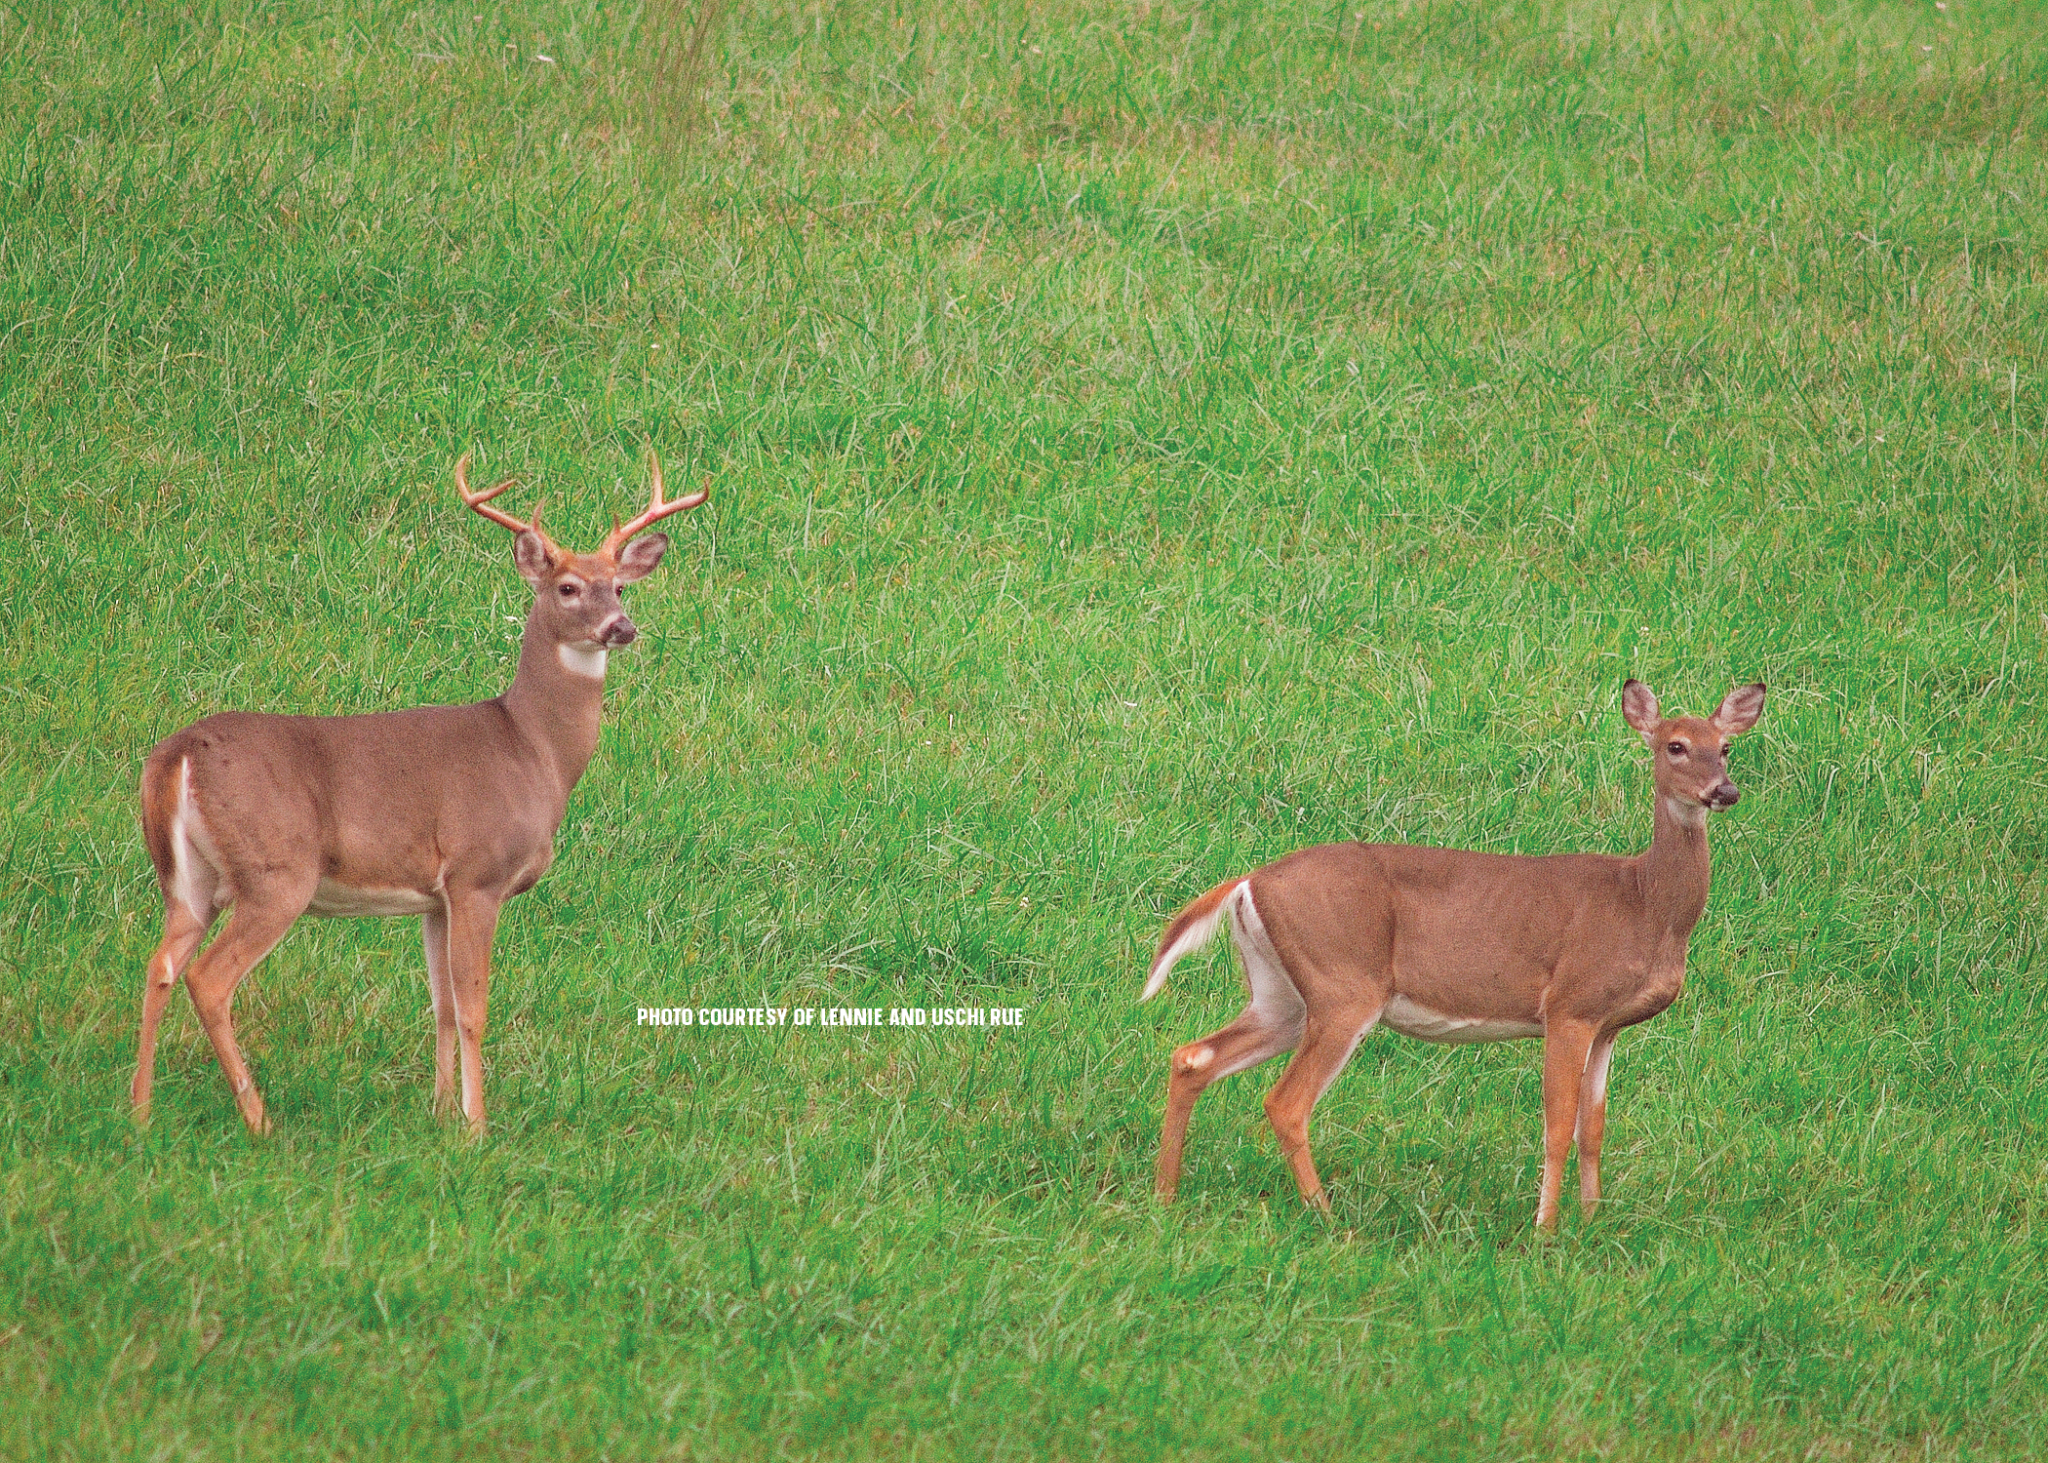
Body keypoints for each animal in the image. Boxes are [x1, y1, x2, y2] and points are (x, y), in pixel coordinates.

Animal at [130, 453, 707, 1138]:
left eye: (619, 587)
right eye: (567, 587)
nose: (622, 628)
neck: (534, 750)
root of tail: (177, 754)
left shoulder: (435, 896)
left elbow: (442, 1006)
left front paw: (439, 1114)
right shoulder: (477, 873)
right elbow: (475, 1008)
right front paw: (477, 1127)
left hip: (189, 877)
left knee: (160, 966)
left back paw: (138, 1112)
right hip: (277, 870)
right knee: (210, 978)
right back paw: (258, 1118)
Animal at [1141, 679, 1765, 1231]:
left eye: (1725, 747)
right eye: (1675, 745)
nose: (1725, 791)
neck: (1644, 904)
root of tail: (1248, 881)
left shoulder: (1608, 1024)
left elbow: (1593, 1128)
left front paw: (1591, 1223)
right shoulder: (1570, 1005)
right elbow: (1557, 1126)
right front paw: (1546, 1232)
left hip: (1282, 994)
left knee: (1193, 1056)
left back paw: (1166, 1195)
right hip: (1342, 983)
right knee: (1285, 1102)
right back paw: (1327, 1217)